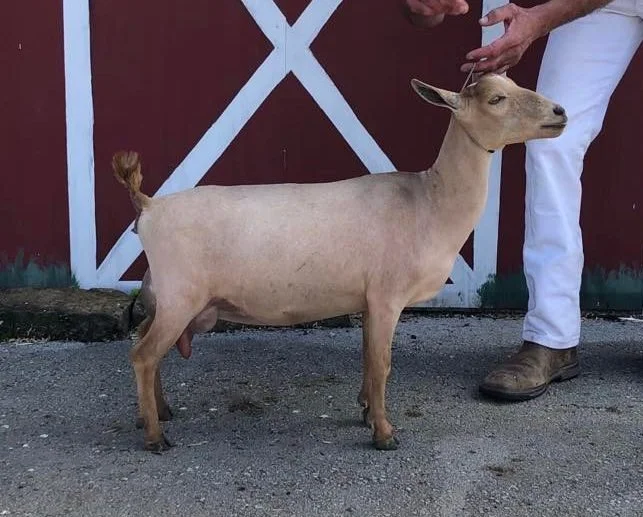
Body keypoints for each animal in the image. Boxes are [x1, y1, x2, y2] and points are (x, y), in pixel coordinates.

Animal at [112, 73, 567, 453]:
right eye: (496, 99)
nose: (560, 113)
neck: (430, 202)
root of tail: (148, 206)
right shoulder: (387, 295)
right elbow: (381, 364)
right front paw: (384, 434)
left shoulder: (367, 299)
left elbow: (368, 359)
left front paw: (366, 412)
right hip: (180, 294)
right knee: (143, 355)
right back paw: (155, 436)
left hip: (170, 297)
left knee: (147, 343)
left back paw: (157, 413)